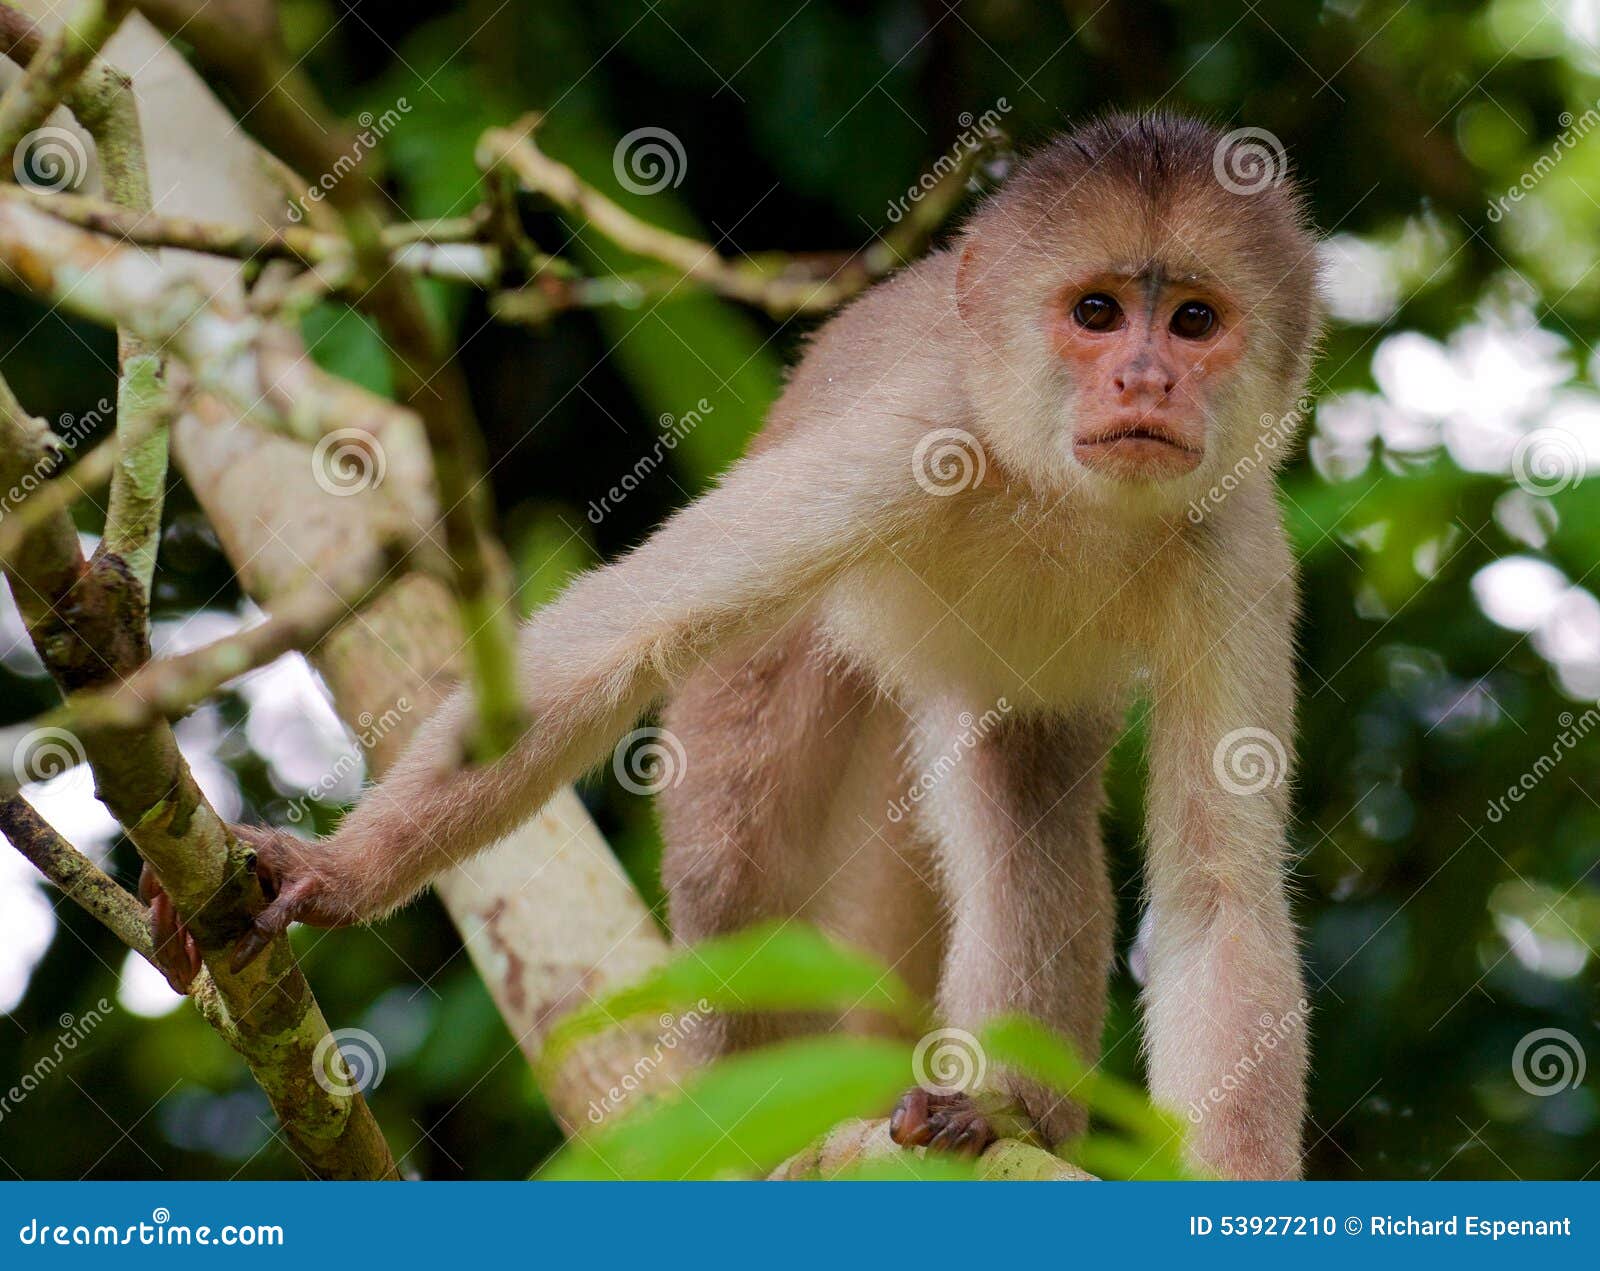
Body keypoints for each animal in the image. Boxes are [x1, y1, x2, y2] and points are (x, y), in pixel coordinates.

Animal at [148, 113, 1320, 1180]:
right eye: (1097, 313)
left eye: (1194, 321)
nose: (1145, 381)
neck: (1065, 500)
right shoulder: (911, 437)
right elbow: (607, 645)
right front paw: (333, 873)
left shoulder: (1238, 552)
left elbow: (1219, 901)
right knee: (743, 852)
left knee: (1022, 796)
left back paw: (1008, 1113)